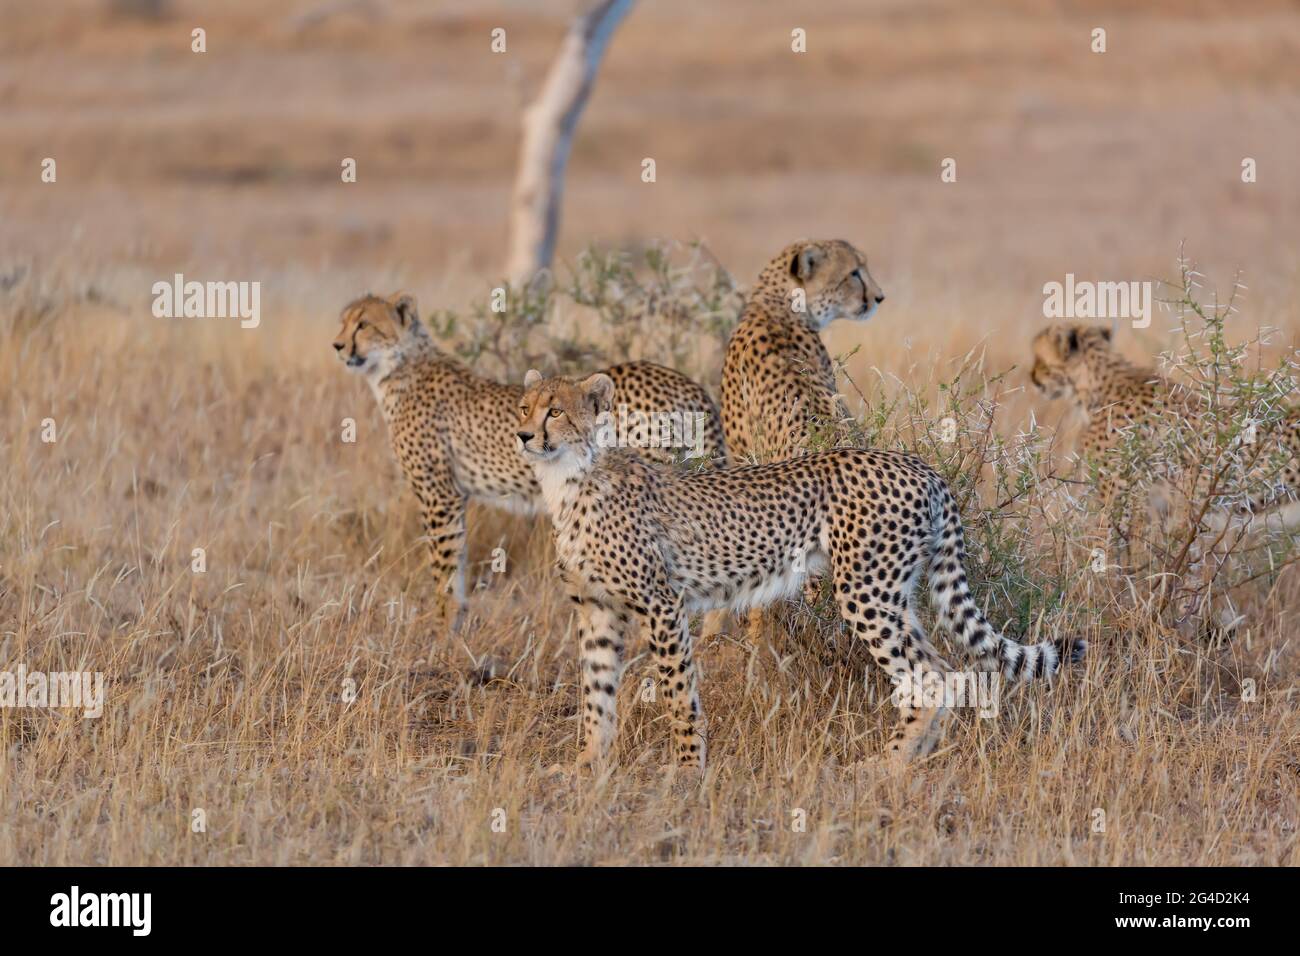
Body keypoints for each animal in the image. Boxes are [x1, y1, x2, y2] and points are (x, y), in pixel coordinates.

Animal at [333, 292, 725, 630]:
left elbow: (445, 569)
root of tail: (685, 381)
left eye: (364, 325)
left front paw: (445, 630)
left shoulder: (440, 495)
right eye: (344, 322)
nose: (337, 346)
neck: (399, 367)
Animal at [517, 370, 1085, 770]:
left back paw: (885, 767)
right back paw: (916, 759)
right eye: (524, 408)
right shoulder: (597, 610)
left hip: (865, 590)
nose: (523, 436)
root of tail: (920, 465)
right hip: (892, 591)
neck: (569, 478)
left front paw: (685, 772)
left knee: (929, 677)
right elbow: (596, 694)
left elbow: (678, 693)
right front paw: (586, 767)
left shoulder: (662, 604)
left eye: (556, 412)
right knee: (942, 671)